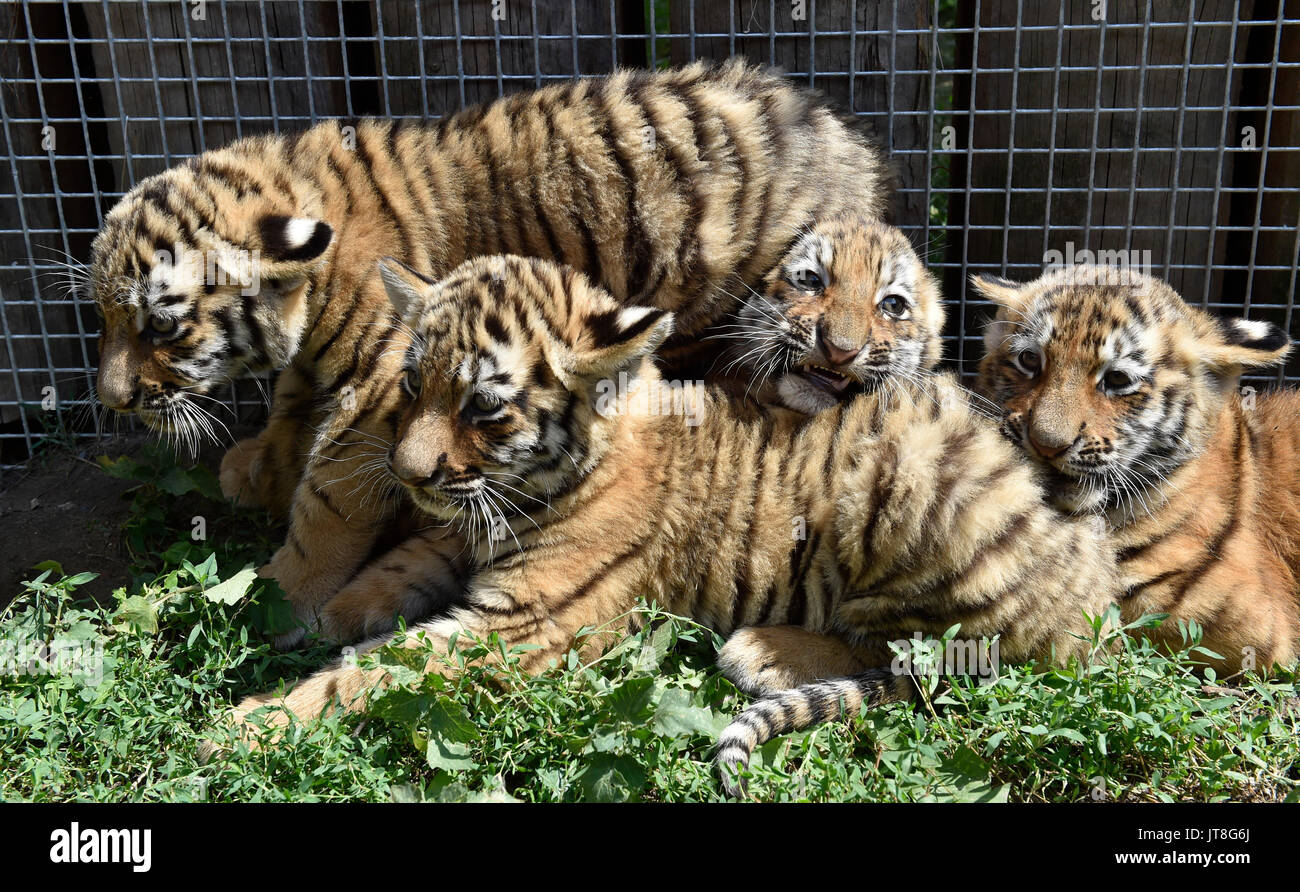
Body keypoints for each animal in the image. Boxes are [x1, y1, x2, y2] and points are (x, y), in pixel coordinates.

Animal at [86, 60, 901, 641]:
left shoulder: (379, 383)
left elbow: (328, 498)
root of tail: (851, 145)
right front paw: (254, 469)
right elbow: (291, 409)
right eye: (104, 315)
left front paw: (275, 595)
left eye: (160, 326)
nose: (111, 400)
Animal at [207, 254, 1123, 799]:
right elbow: (400, 567)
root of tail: (1095, 578)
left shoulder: (525, 625)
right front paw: (326, 612)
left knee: (930, 656)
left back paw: (766, 652)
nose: (406, 472)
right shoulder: (462, 533)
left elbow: (379, 673)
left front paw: (252, 724)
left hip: (918, 503)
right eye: (410, 385)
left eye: (483, 409)